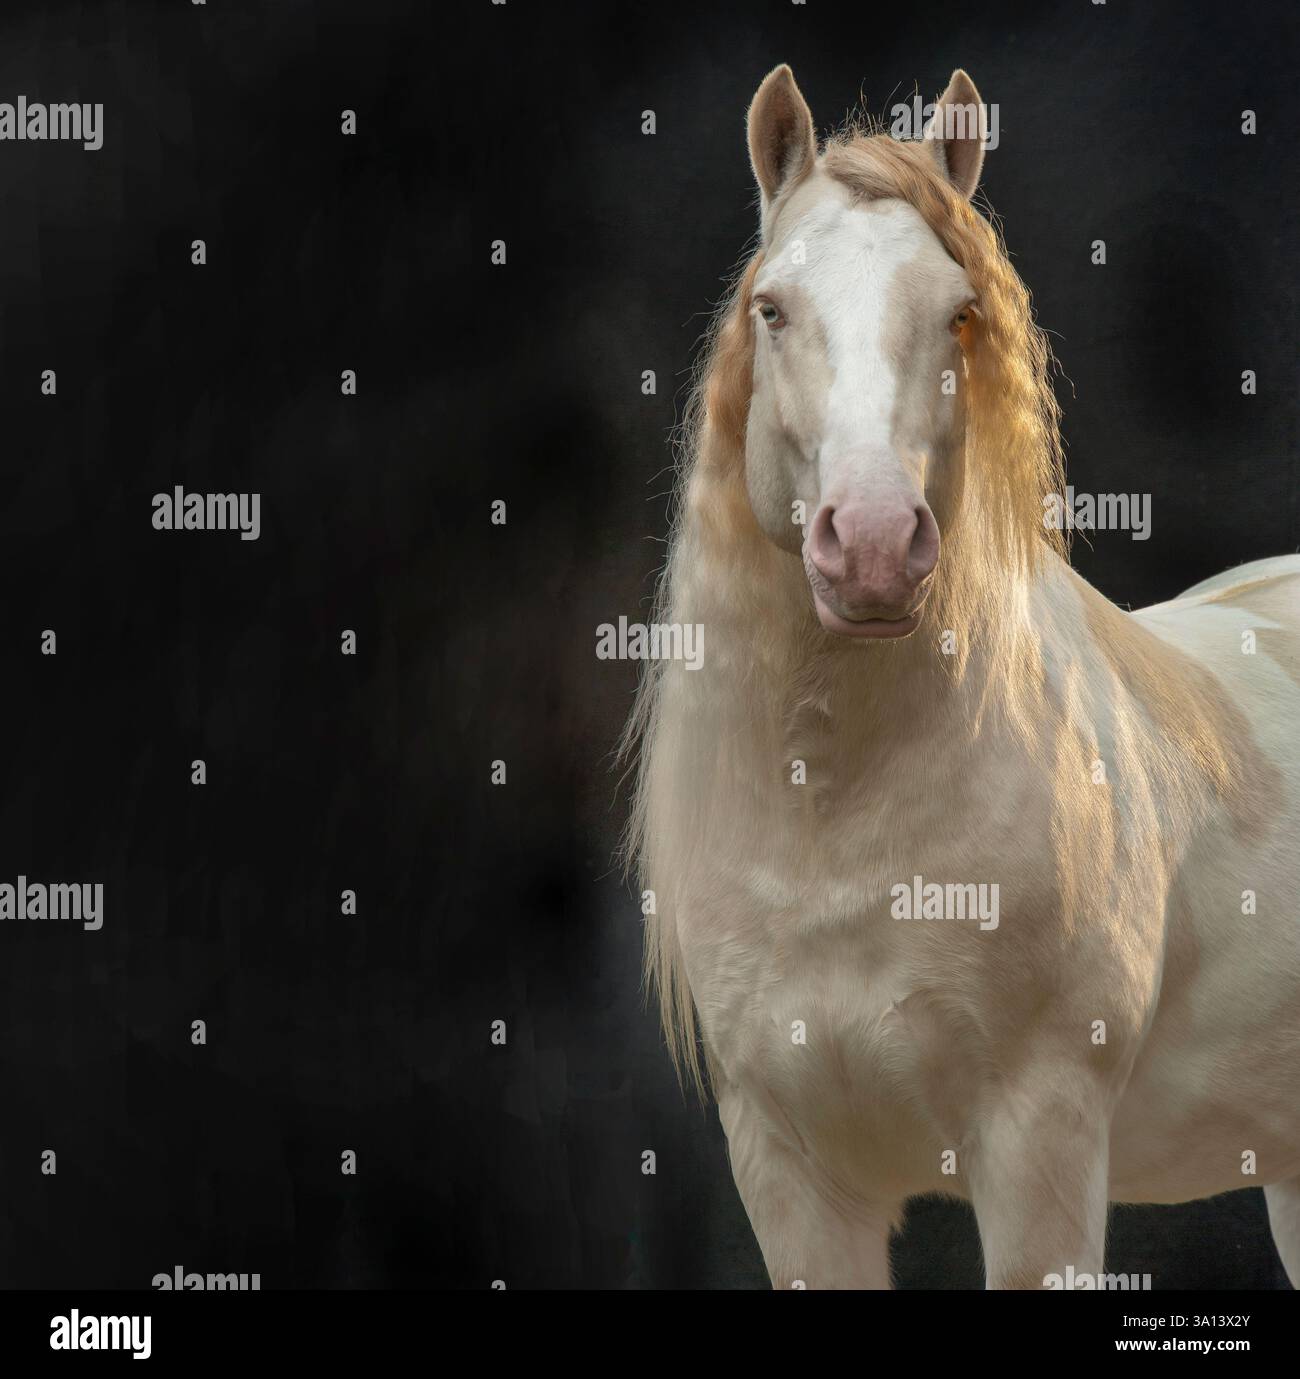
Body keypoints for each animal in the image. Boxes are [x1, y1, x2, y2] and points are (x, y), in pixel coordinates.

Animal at [621, 64, 1300, 1289]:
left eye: (958, 311)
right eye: (772, 308)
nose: (873, 543)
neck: (841, 819)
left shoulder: (1039, 1143)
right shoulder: (792, 1174)